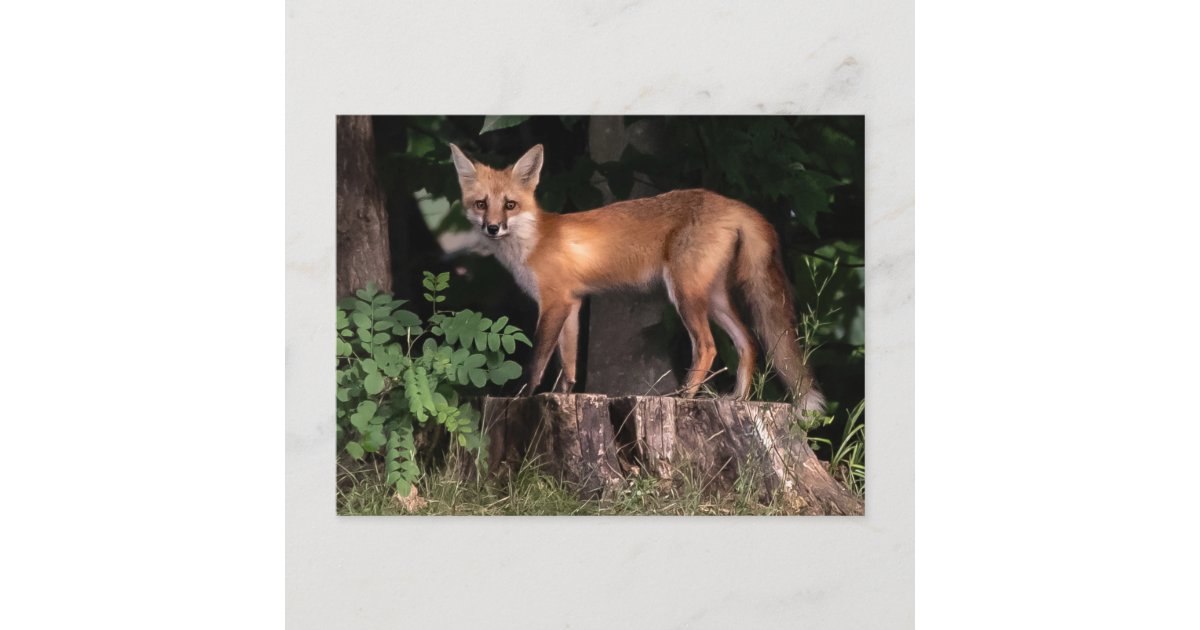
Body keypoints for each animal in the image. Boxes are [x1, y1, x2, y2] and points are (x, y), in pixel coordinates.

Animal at [448, 143, 824, 414]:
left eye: (510, 205)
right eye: (481, 204)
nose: (492, 228)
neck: (533, 239)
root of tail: (732, 203)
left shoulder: (554, 302)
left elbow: (536, 361)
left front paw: (522, 397)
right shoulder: (572, 302)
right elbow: (568, 364)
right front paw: (560, 398)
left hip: (685, 294)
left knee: (708, 346)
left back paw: (682, 397)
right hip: (714, 298)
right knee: (748, 343)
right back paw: (739, 399)